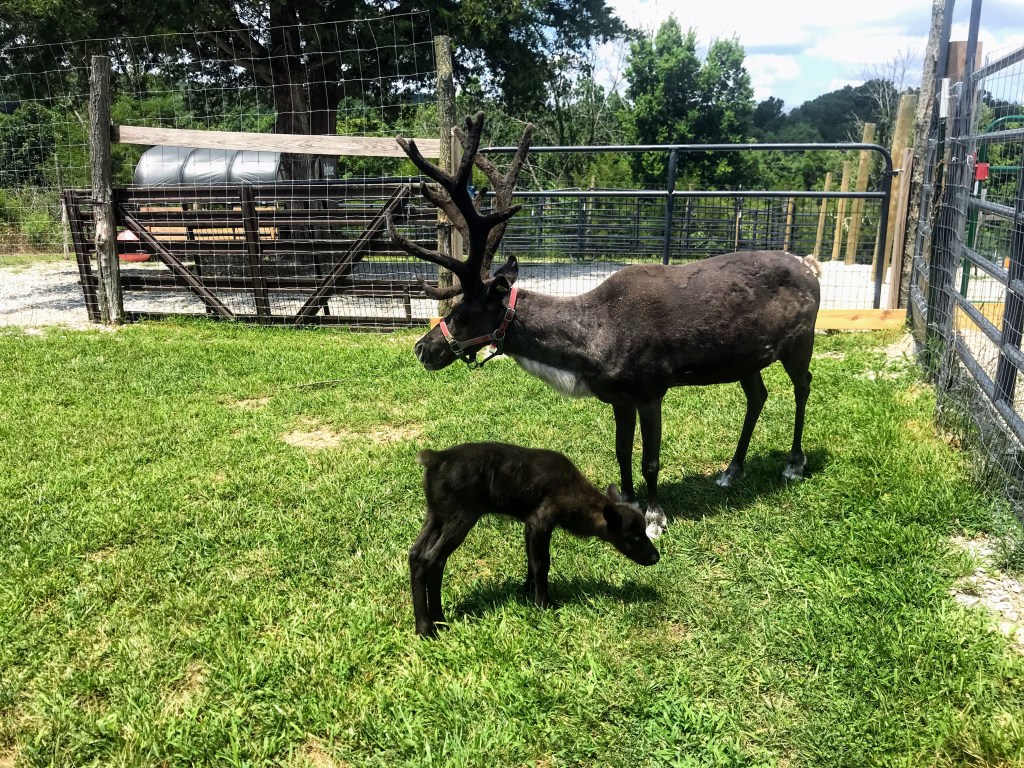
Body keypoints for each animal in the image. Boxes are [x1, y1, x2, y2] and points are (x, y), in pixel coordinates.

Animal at [388, 112, 821, 539]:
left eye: (463, 314)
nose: (422, 348)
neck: (589, 345)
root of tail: (810, 267)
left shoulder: (651, 390)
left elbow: (650, 460)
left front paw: (655, 517)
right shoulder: (618, 397)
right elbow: (621, 450)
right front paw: (628, 500)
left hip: (800, 342)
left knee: (803, 386)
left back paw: (794, 463)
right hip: (746, 357)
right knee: (758, 396)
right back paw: (731, 470)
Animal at [411, 442, 660, 637]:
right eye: (633, 537)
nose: (655, 558)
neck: (576, 499)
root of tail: (435, 458)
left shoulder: (530, 525)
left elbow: (531, 558)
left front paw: (528, 590)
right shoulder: (541, 520)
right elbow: (542, 563)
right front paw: (543, 603)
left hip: (436, 515)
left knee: (416, 553)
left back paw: (434, 621)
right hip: (460, 516)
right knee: (432, 559)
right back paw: (429, 627)